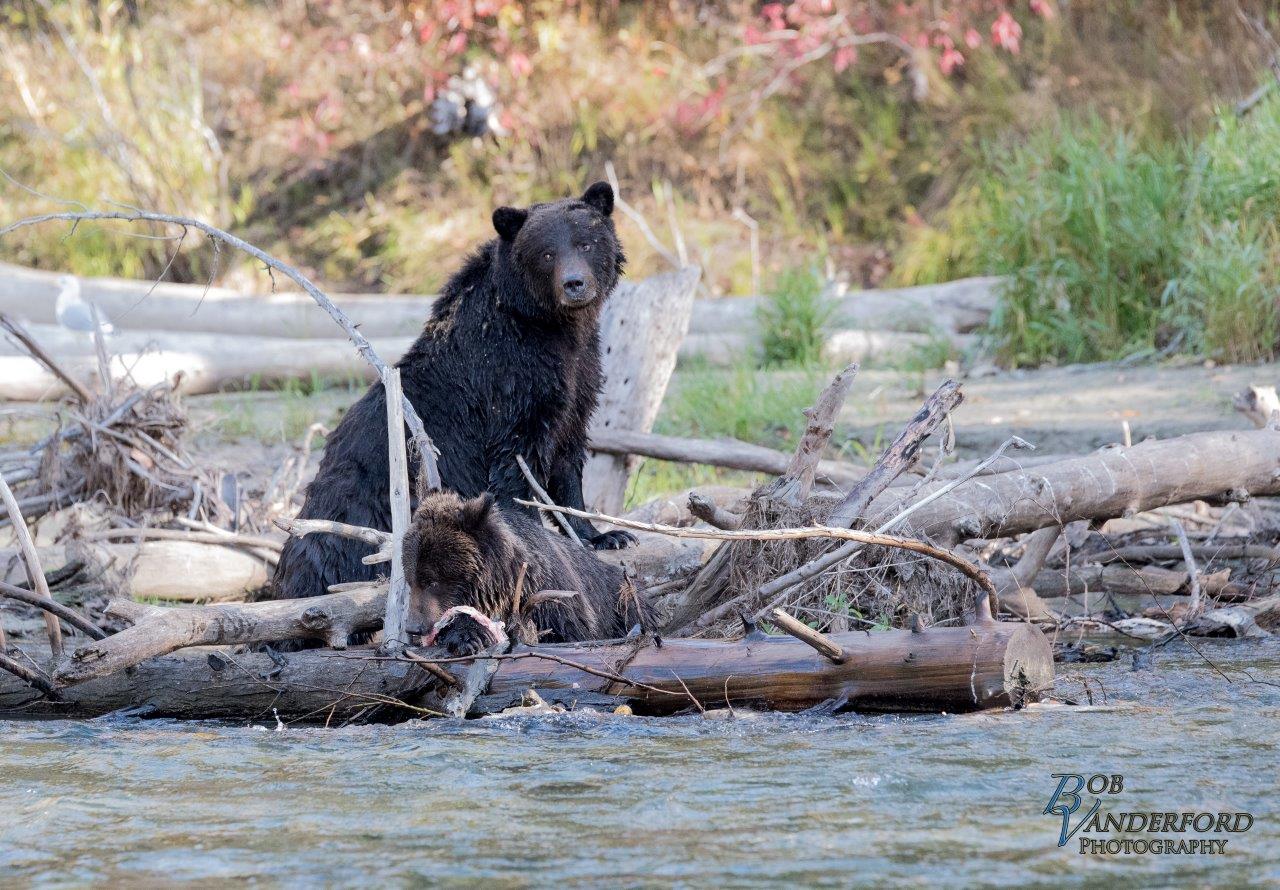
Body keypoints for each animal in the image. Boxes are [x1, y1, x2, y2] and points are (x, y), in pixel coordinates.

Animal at [268, 182, 636, 602]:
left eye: (585, 242)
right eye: (546, 253)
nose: (574, 283)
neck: (554, 328)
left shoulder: (578, 378)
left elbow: (567, 457)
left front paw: (605, 534)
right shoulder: (510, 382)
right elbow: (514, 466)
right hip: (361, 507)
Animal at [402, 490, 655, 655]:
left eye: (432, 581)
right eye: (410, 580)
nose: (413, 627)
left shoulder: (554, 599)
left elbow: (567, 633)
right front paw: (469, 636)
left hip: (619, 599)